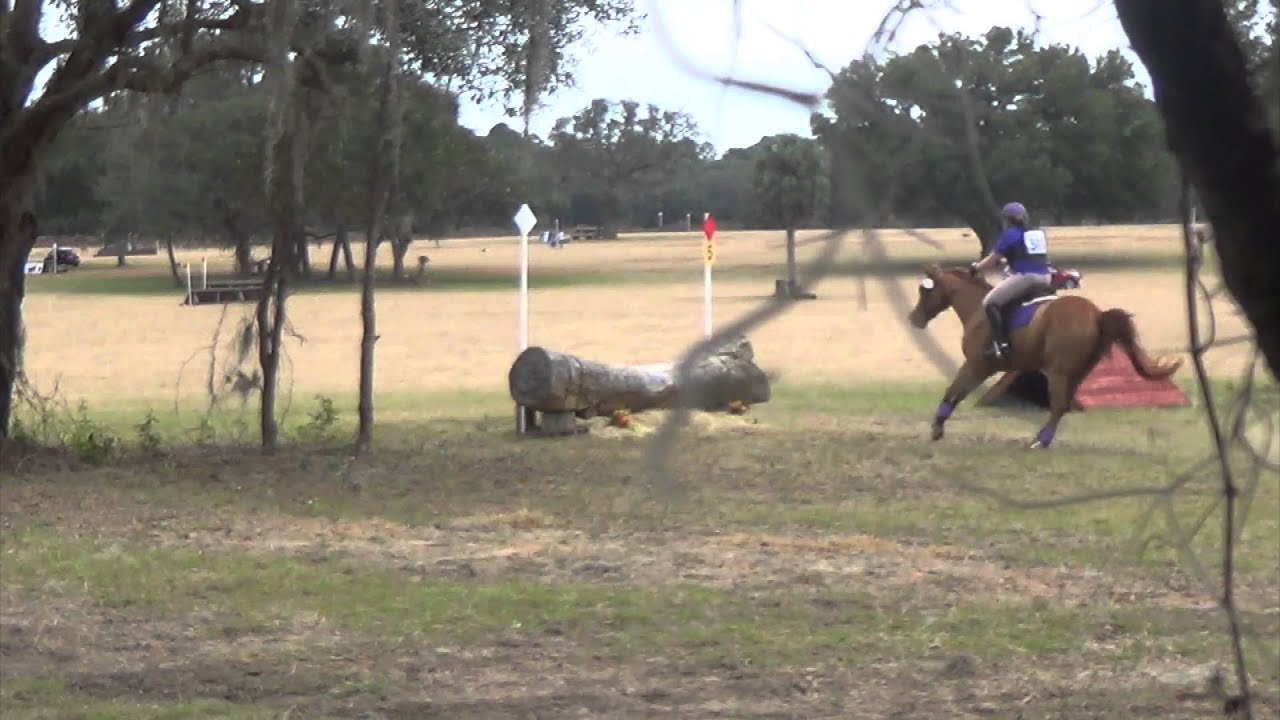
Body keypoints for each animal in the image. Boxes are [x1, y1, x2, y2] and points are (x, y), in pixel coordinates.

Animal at [907, 263, 1182, 449]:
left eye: (925, 291)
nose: (914, 319)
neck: (977, 308)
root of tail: (1097, 315)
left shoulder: (977, 365)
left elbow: (953, 391)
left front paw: (937, 427)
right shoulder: (982, 367)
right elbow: (957, 392)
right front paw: (938, 427)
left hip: (1059, 372)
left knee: (1058, 405)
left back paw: (1041, 441)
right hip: (1078, 372)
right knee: (1063, 405)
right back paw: (1043, 438)